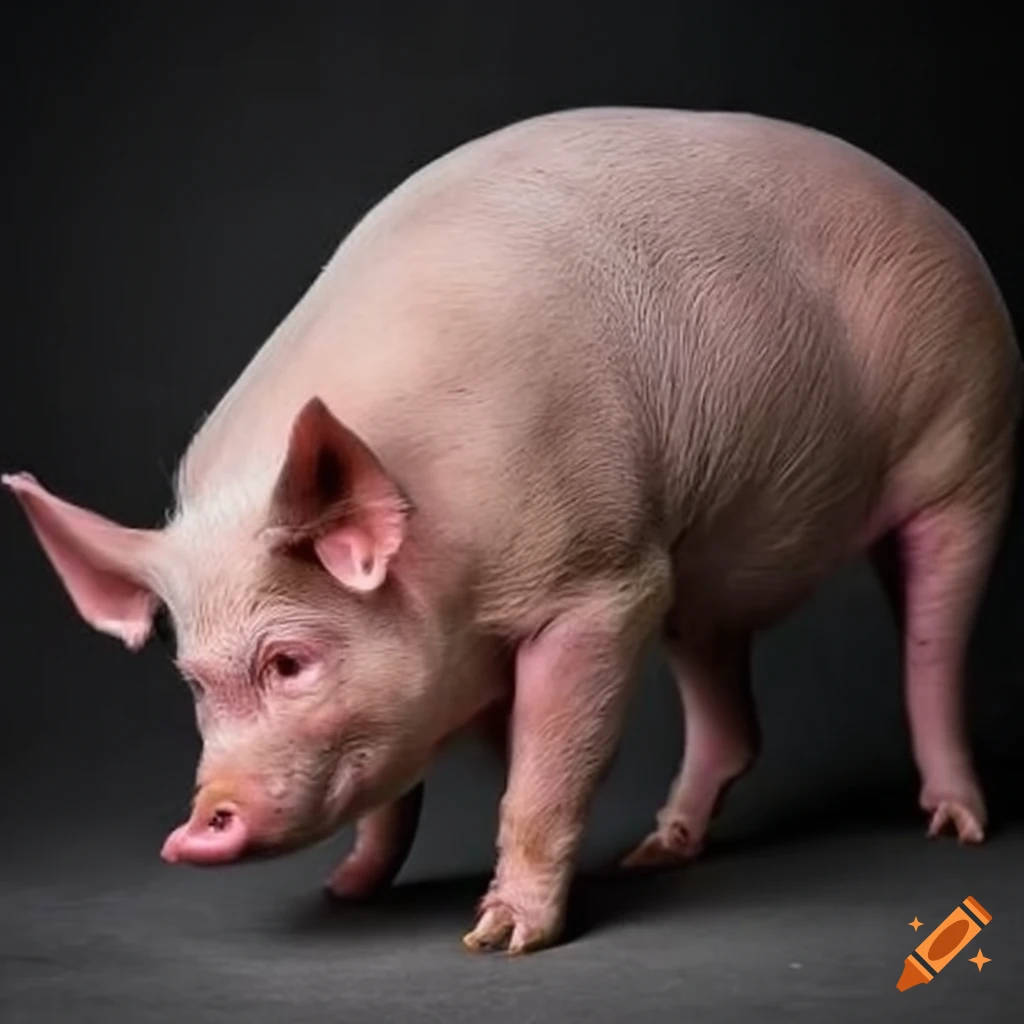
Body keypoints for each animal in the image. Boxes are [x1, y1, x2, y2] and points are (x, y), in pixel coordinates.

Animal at [5, 107, 1021, 955]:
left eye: (290, 662)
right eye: (192, 682)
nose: (195, 825)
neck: (452, 581)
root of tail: (942, 217)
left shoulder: (603, 582)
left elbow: (546, 767)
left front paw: (496, 939)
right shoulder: (569, 606)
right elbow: (417, 781)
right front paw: (349, 891)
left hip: (970, 448)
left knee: (935, 634)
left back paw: (959, 826)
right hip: (698, 570)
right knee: (728, 709)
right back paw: (659, 853)